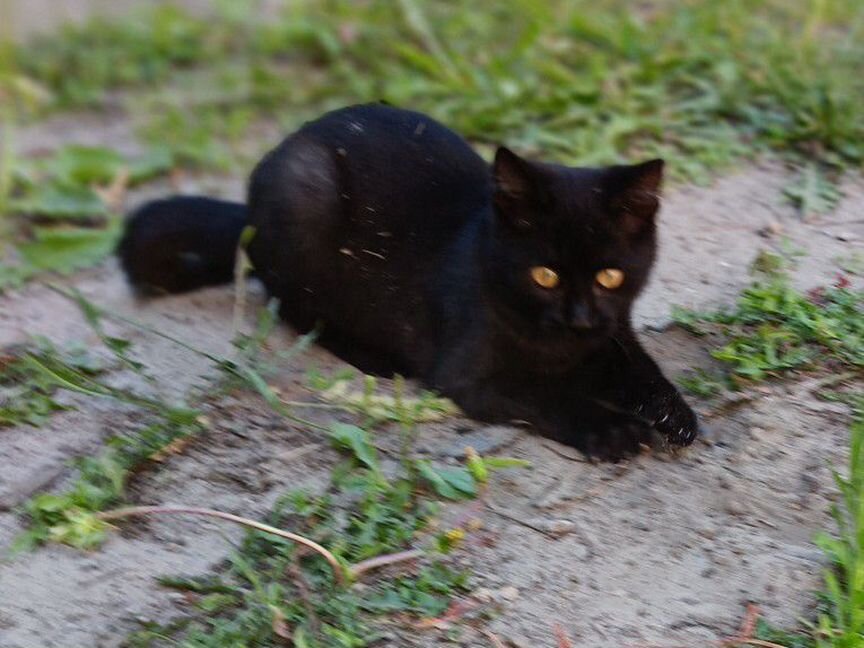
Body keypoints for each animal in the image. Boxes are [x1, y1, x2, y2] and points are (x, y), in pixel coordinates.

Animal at [118, 104, 700, 458]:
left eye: (609, 275)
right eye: (545, 274)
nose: (578, 318)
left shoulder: (613, 331)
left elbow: (640, 367)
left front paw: (672, 411)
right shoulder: (468, 376)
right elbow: (549, 396)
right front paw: (612, 428)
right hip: (304, 197)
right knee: (289, 303)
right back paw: (372, 356)